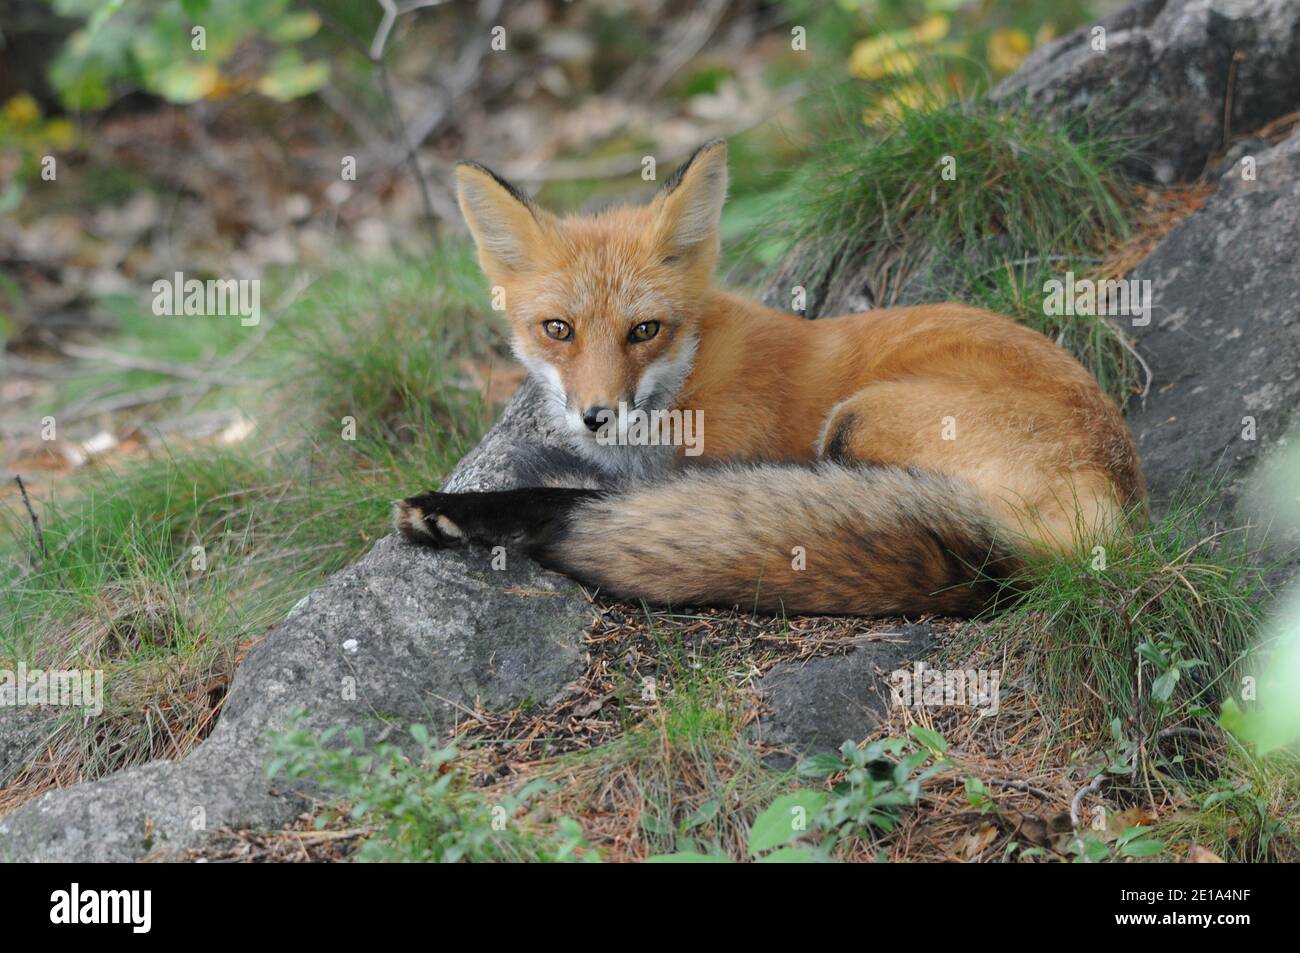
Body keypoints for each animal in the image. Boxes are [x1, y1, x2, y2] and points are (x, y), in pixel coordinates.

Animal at [393, 139, 1147, 617]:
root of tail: (1112, 515)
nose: (598, 415)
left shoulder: (707, 463)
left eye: (645, 330)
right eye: (558, 330)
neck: (685, 384)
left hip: (857, 422)